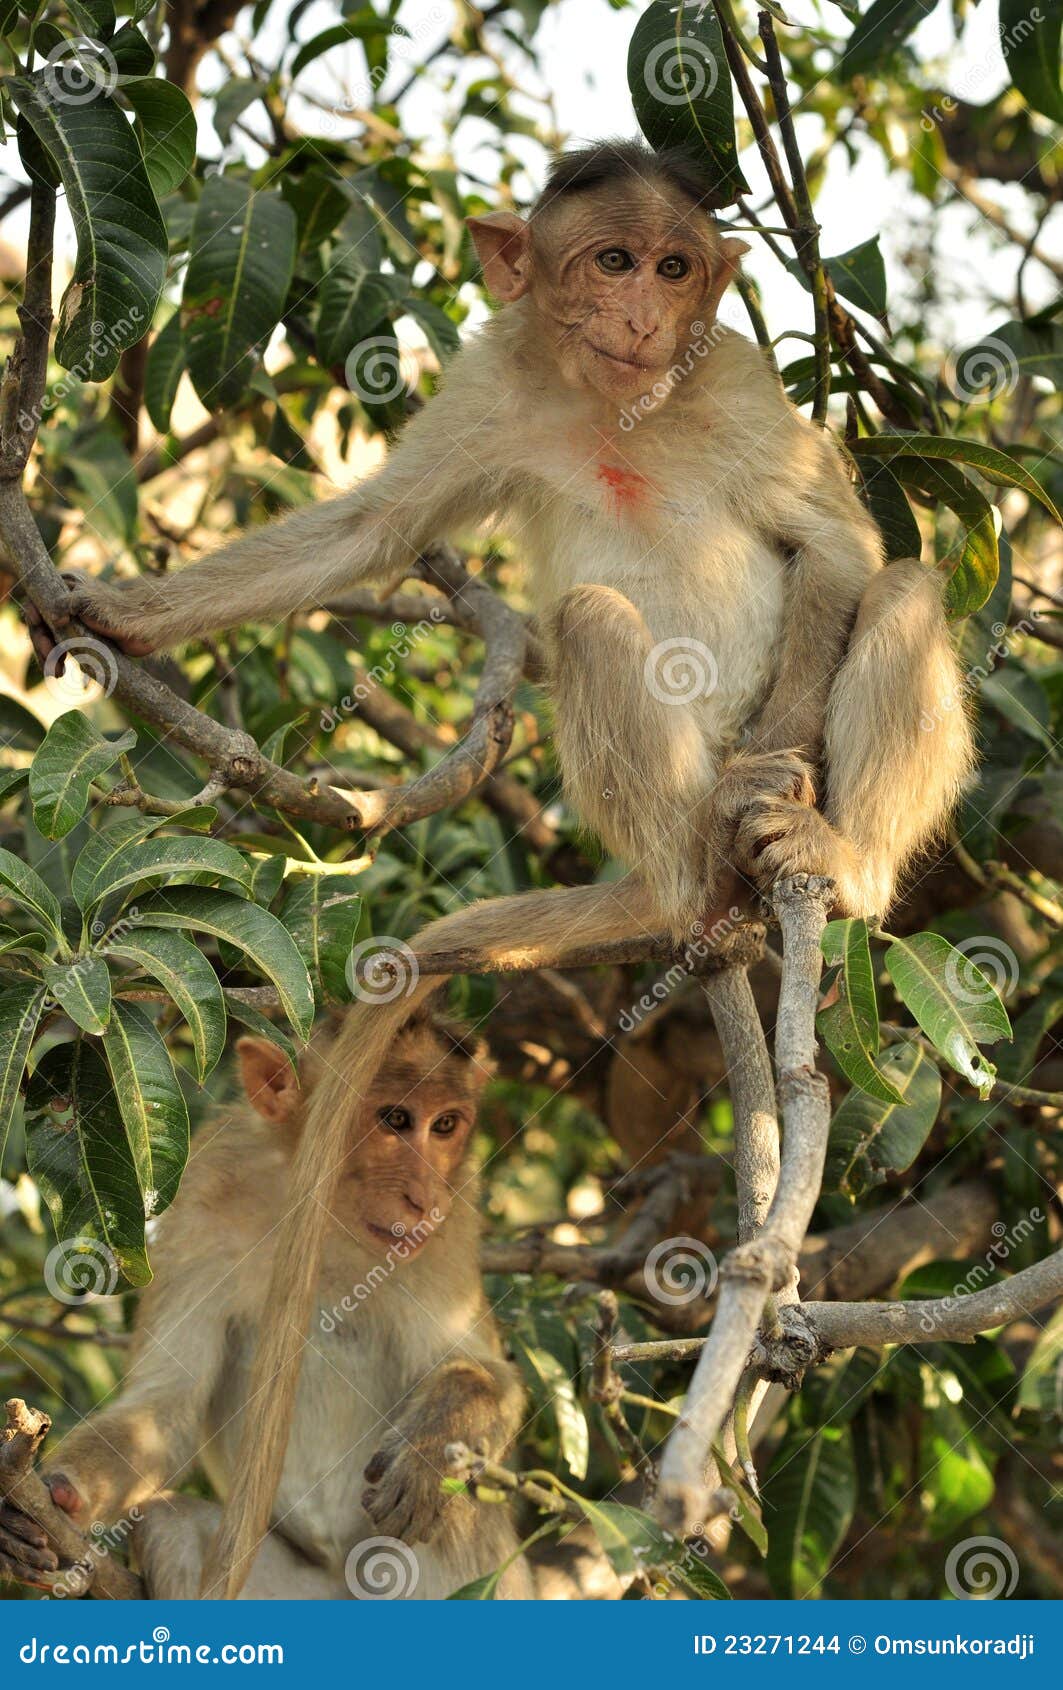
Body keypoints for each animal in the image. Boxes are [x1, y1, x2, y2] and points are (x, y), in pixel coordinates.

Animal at [0, 1012, 532, 1600]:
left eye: (445, 1125)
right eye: (396, 1119)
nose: (423, 1197)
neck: (327, 1220)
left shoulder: (451, 1230)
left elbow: (486, 1374)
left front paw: (428, 1455)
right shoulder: (201, 1204)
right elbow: (166, 1405)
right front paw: (52, 1495)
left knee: (459, 1514)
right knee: (167, 1524)